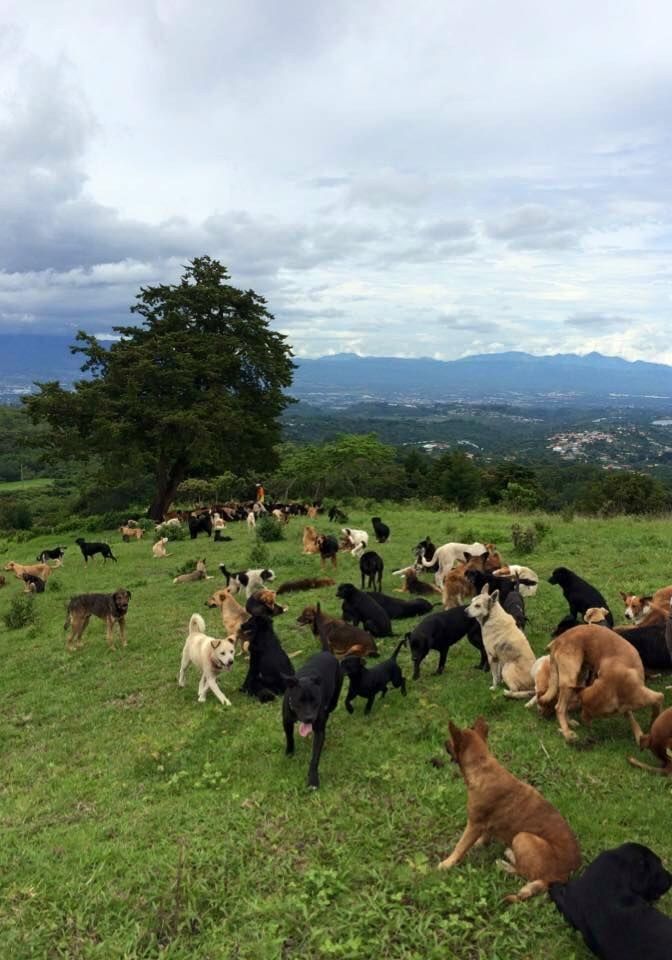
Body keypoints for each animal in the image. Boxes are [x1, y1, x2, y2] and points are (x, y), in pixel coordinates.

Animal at [280, 648, 342, 792]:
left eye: (315, 701)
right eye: (299, 701)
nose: (309, 718)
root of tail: (326, 652)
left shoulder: (319, 731)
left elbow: (315, 758)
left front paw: (313, 780)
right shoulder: (286, 721)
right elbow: (289, 737)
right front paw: (290, 752)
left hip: (335, 696)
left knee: (330, 708)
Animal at [438, 716, 580, 904]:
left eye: (451, 740)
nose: (443, 742)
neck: (481, 765)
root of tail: (561, 877)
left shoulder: (474, 824)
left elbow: (460, 846)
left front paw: (447, 863)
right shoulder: (484, 825)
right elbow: (481, 839)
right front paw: (478, 844)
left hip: (522, 837)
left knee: (524, 873)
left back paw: (505, 863)